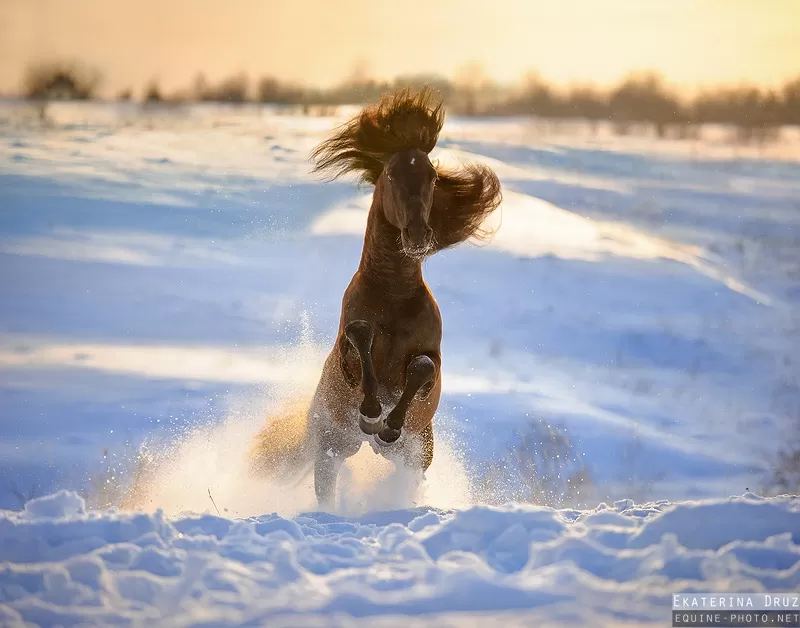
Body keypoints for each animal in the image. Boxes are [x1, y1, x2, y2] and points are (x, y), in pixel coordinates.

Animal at [250, 87, 500, 510]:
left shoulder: (432, 358)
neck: (393, 294)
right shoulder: (348, 349)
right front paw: (371, 413)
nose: (418, 235)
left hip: (415, 459)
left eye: (432, 176)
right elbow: (361, 337)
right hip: (331, 449)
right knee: (326, 489)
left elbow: (422, 369)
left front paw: (388, 424)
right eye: (392, 174)